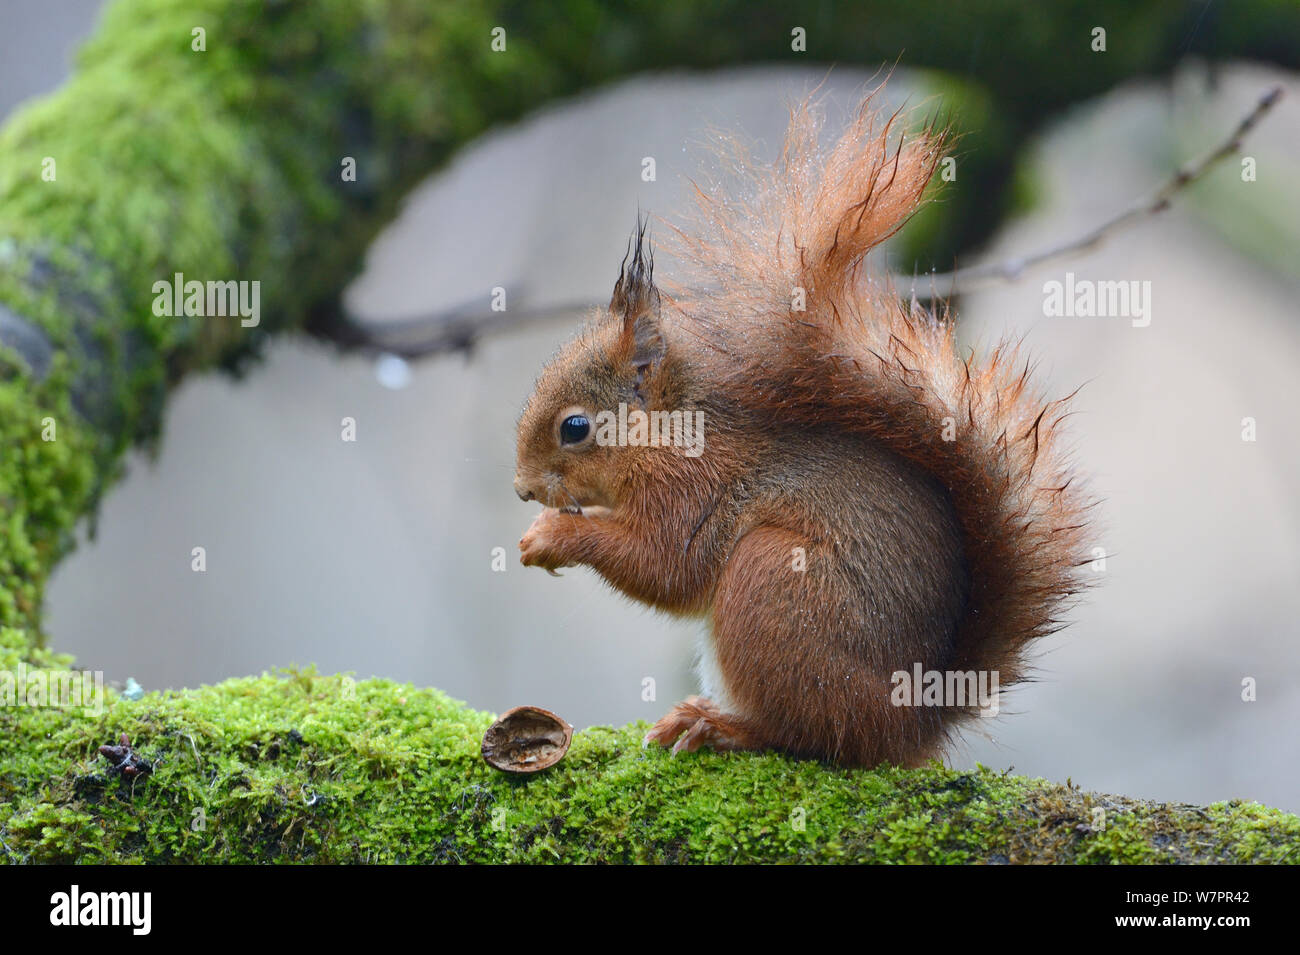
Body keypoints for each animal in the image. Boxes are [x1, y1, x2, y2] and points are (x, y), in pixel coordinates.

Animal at [513, 87, 1092, 768]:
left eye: (575, 427)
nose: (522, 488)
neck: (668, 434)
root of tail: (914, 725)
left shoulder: (692, 491)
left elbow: (665, 567)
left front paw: (553, 536)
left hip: (773, 586)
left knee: (818, 735)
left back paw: (724, 726)